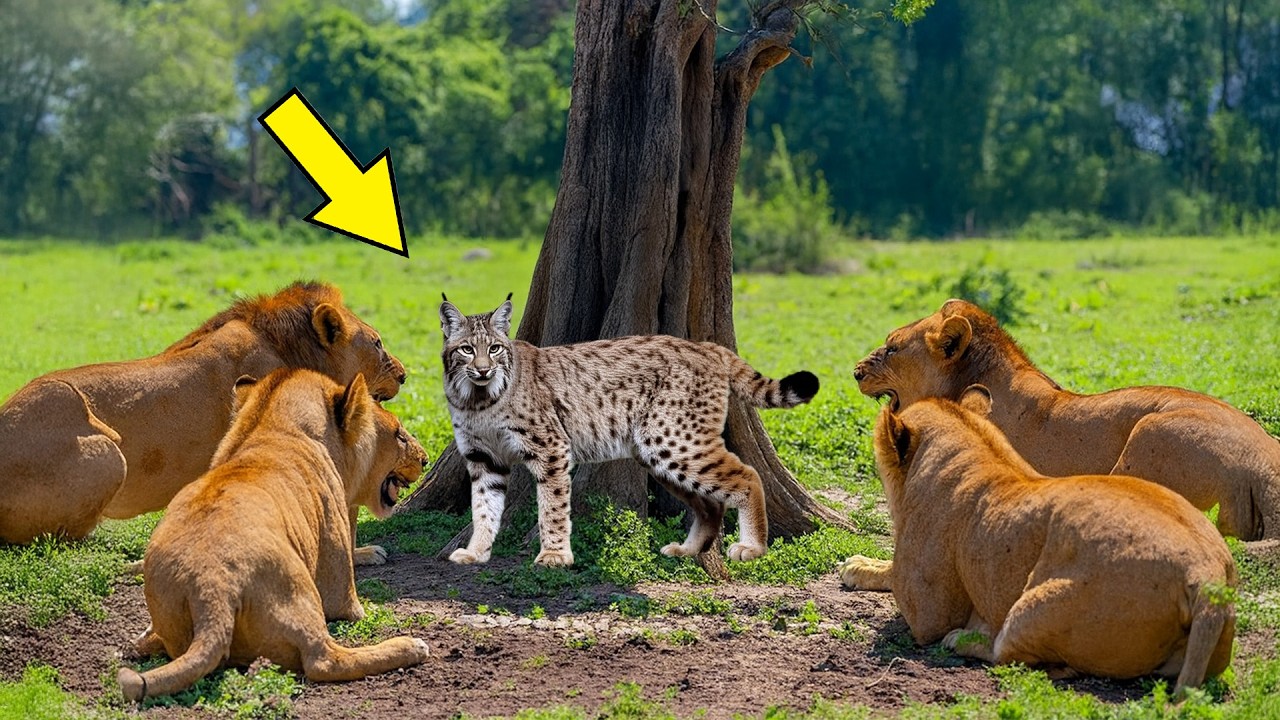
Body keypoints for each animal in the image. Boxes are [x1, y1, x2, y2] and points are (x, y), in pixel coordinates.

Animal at [116, 370, 429, 702]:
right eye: (399, 434)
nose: (425, 460)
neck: (270, 423)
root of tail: (211, 590)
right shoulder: (339, 583)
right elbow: (356, 607)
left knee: (154, 642)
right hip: (301, 593)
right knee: (326, 660)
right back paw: (410, 646)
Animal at [845, 387, 1236, 695]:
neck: (972, 445)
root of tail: (1206, 573)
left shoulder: (929, 612)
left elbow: (895, 580)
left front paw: (858, 567)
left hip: (1032, 607)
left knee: (1017, 656)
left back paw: (965, 639)